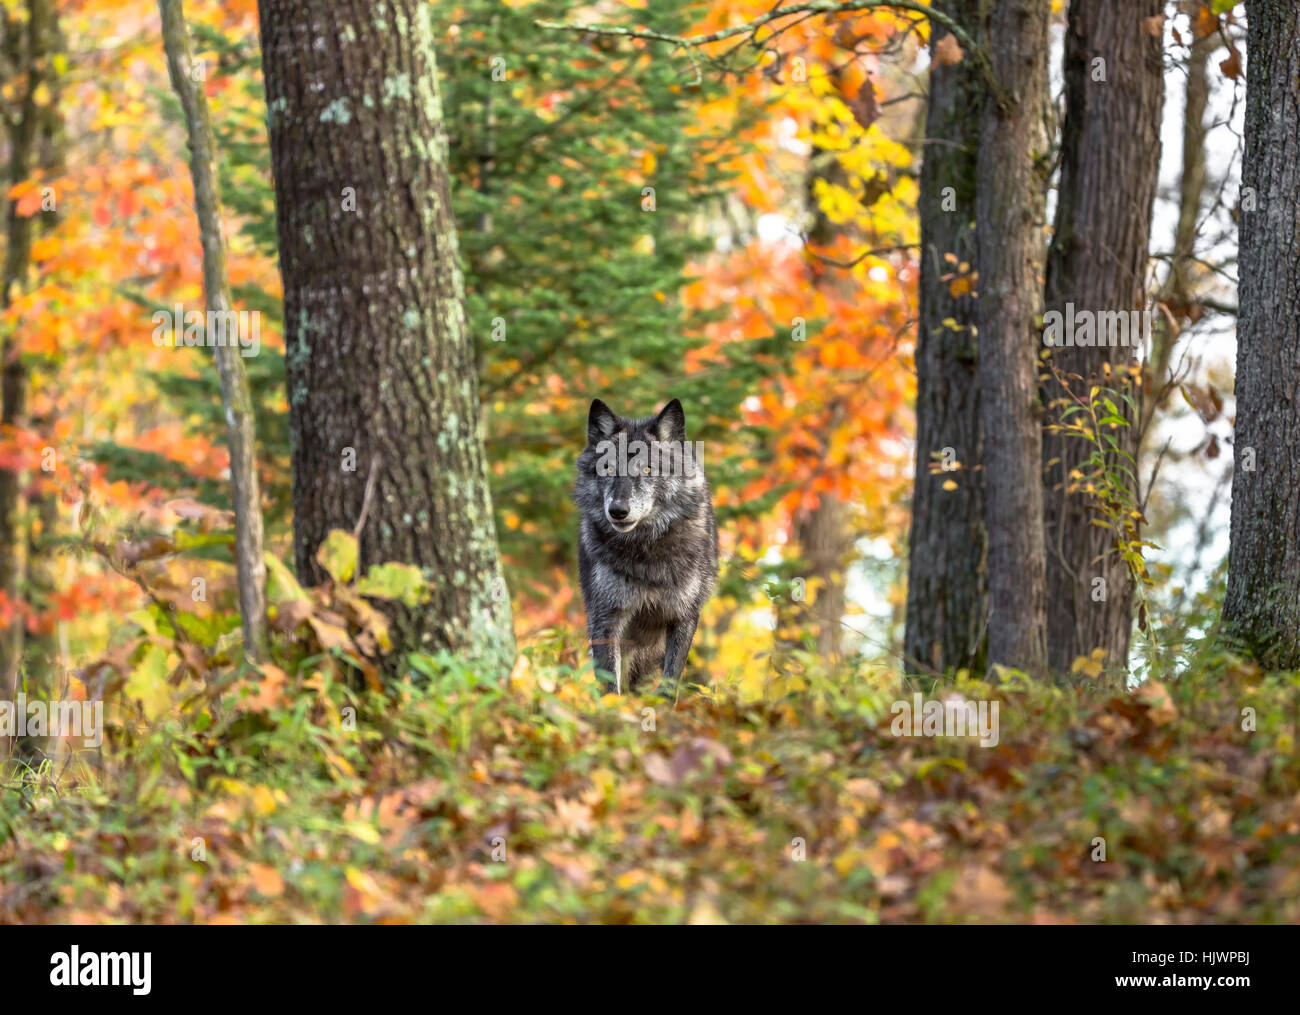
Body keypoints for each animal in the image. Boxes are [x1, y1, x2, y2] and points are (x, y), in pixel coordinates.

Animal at [575, 397, 718, 694]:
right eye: (607, 468)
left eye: (647, 469)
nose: (618, 511)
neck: (646, 549)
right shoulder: (604, 617)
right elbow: (610, 685)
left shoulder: (685, 617)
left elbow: (670, 683)